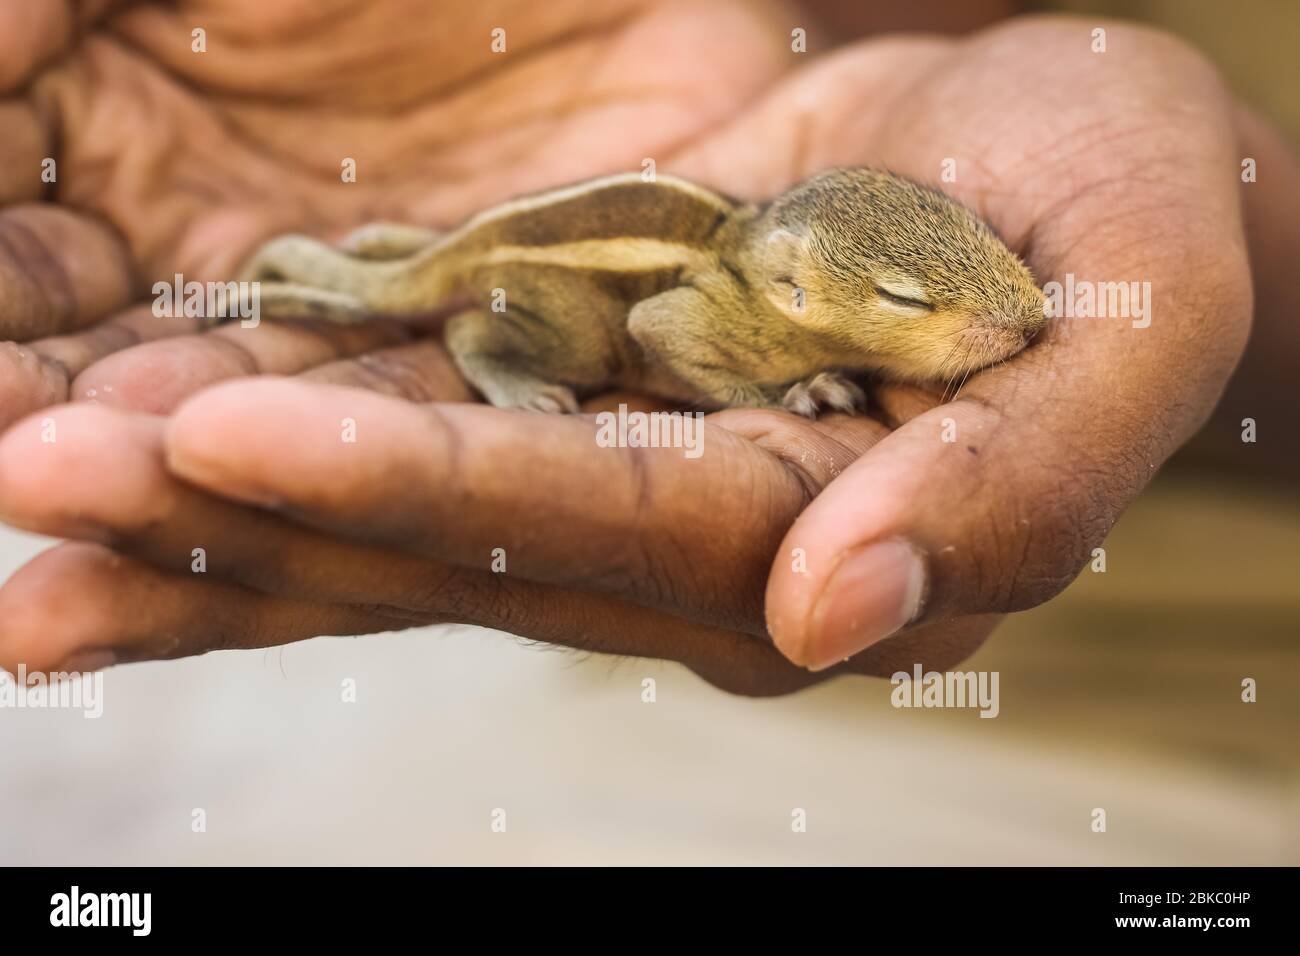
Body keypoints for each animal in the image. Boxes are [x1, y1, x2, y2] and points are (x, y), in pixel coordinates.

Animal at [235, 168, 1047, 416]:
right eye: (904, 299)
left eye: (973, 223)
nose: (1034, 321)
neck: (739, 247)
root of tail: (465, 241)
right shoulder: (685, 320)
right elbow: (663, 329)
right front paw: (797, 394)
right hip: (574, 334)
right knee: (464, 332)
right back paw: (520, 388)